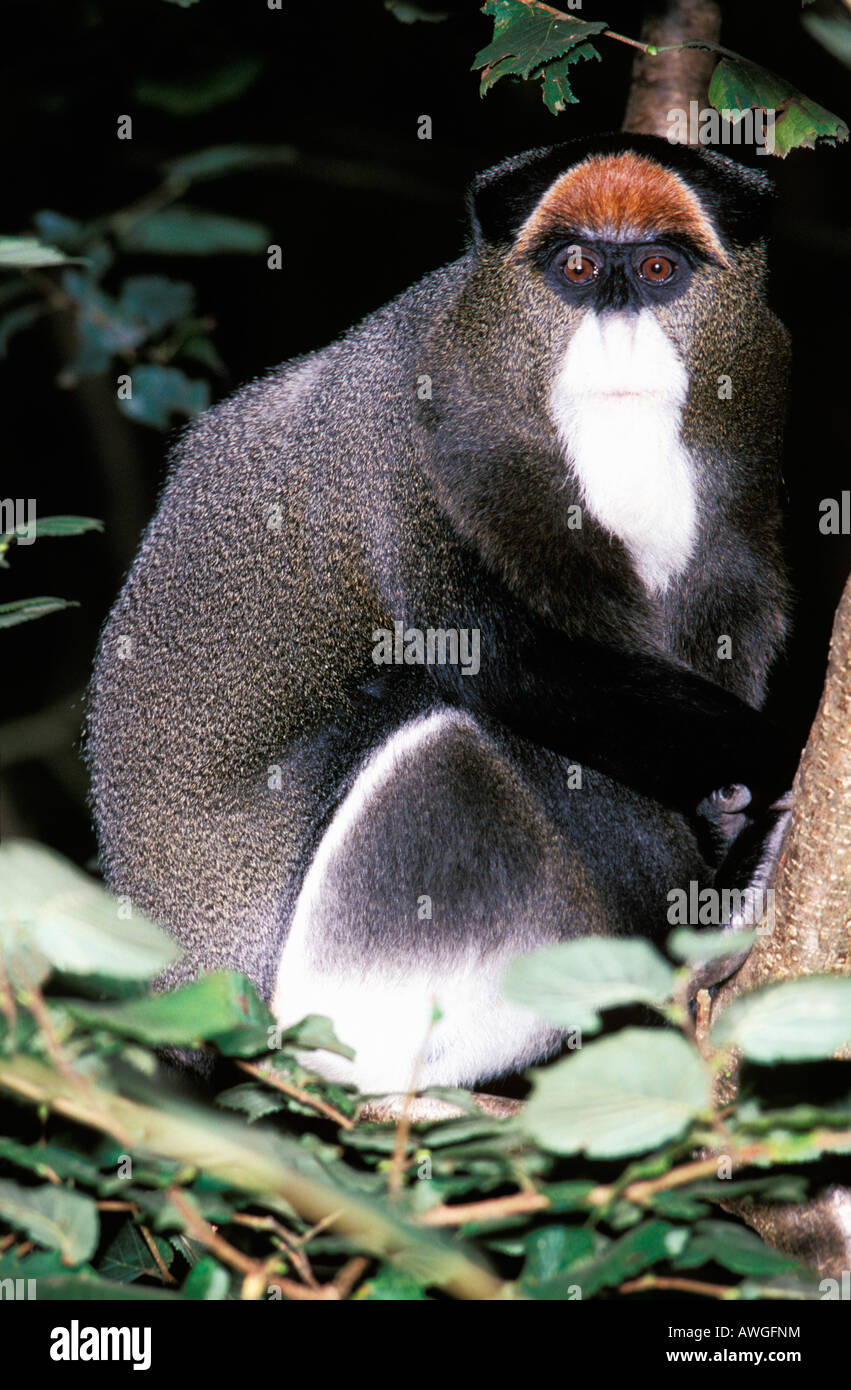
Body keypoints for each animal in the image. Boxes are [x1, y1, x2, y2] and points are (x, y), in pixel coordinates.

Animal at [87, 133, 795, 1095]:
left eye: (658, 267)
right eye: (576, 267)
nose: (617, 334)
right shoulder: (416, 455)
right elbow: (512, 667)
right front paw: (769, 770)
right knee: (453, 726)